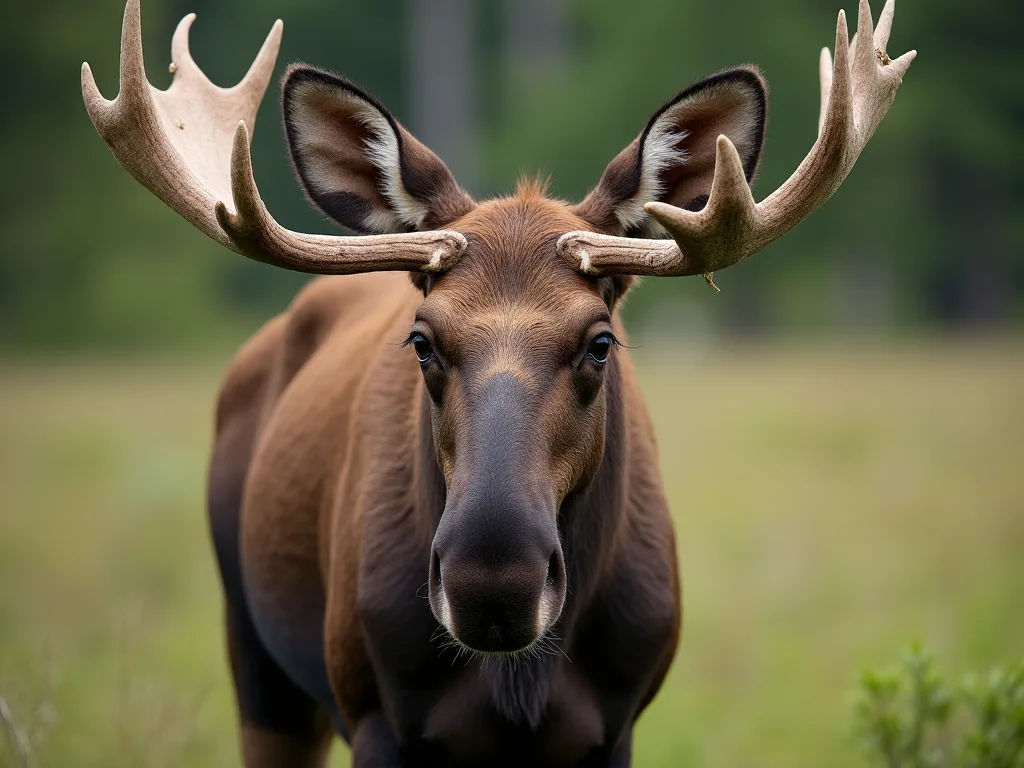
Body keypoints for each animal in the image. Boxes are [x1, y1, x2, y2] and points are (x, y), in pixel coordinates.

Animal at [82, 0, 914, 765]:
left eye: (600, 342)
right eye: (422, 339)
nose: (493, 584)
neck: (521, 689)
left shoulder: (617, 723)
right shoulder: (375, 712)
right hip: (260, 662)